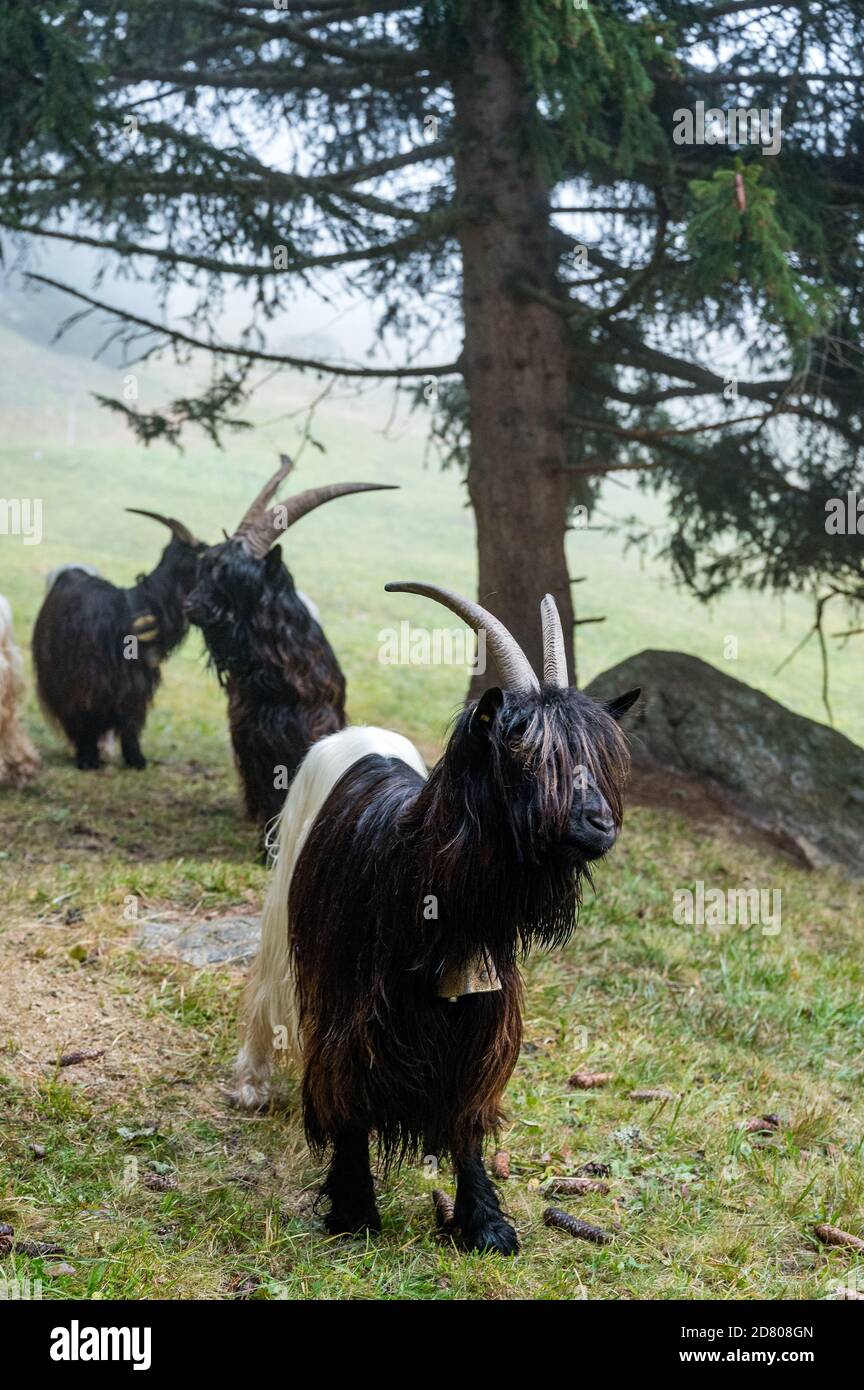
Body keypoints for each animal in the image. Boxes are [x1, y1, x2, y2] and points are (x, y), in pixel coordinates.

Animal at [33, 511, 204, 770]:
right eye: (206, 554)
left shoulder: (135, 684)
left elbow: (130, 718)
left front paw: (136, 759)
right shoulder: (86, 681)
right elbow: (85, 715)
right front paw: (88, 759)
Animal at [231, 582, 639, 1254]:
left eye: (598, 757)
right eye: (528, 757)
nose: (599, 825)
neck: (424, 887)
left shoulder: (482, 1013)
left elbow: (468, 1114)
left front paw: (484, 1222)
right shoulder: (351, 1006)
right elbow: (346, 1095)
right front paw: (354, 1210)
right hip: (282, 899)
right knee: (266, 989)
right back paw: (251, 1084)